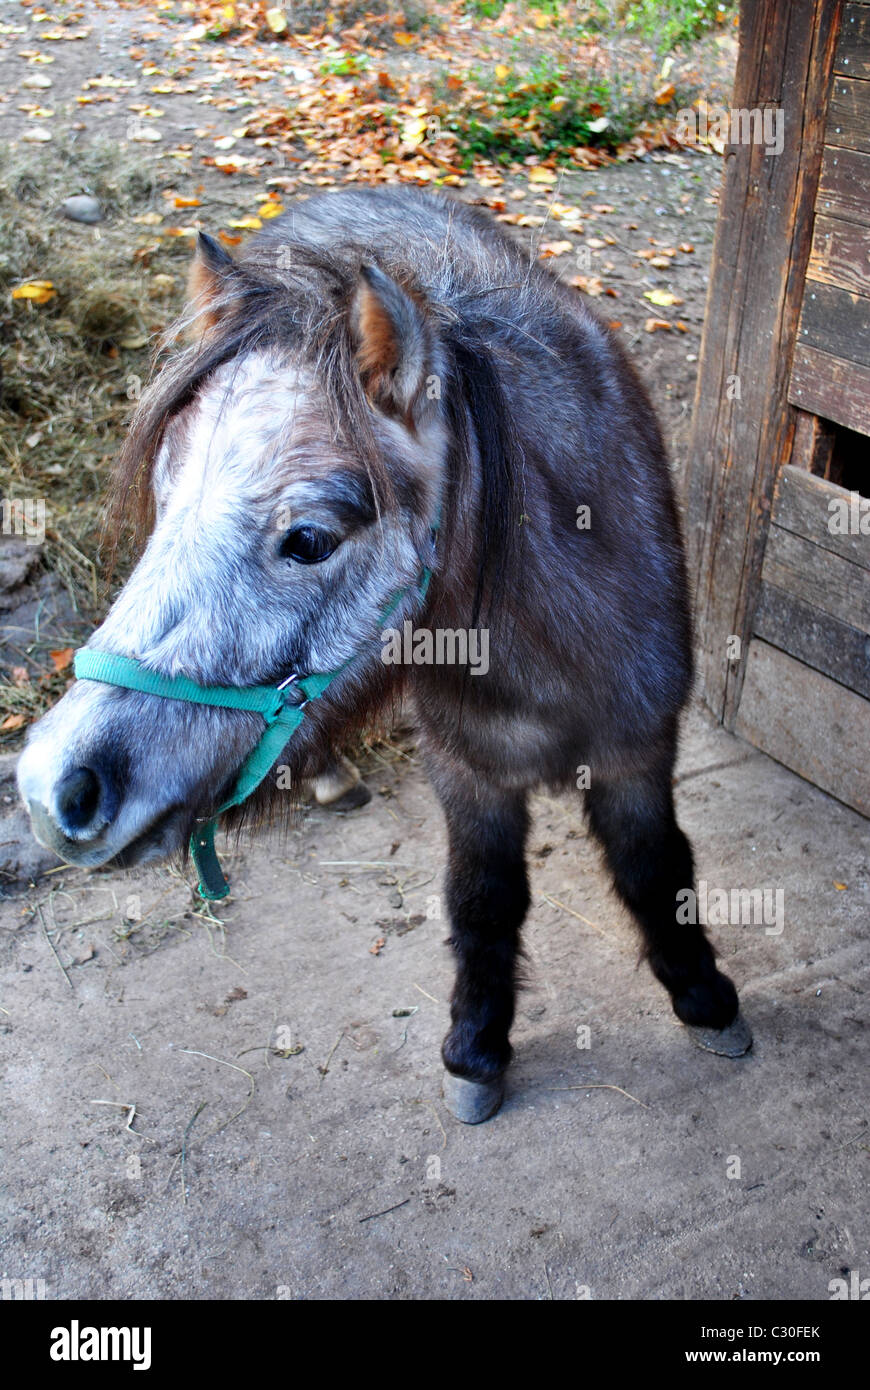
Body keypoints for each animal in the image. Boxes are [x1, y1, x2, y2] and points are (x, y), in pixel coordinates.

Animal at [17, 185, 750, 1124]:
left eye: (309, 539)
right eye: (163, 499)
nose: (51, 788)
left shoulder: (640, 752)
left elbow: (657, 869)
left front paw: (705, 998)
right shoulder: (466, 772)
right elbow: (483, 899)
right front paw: (476, 1050)